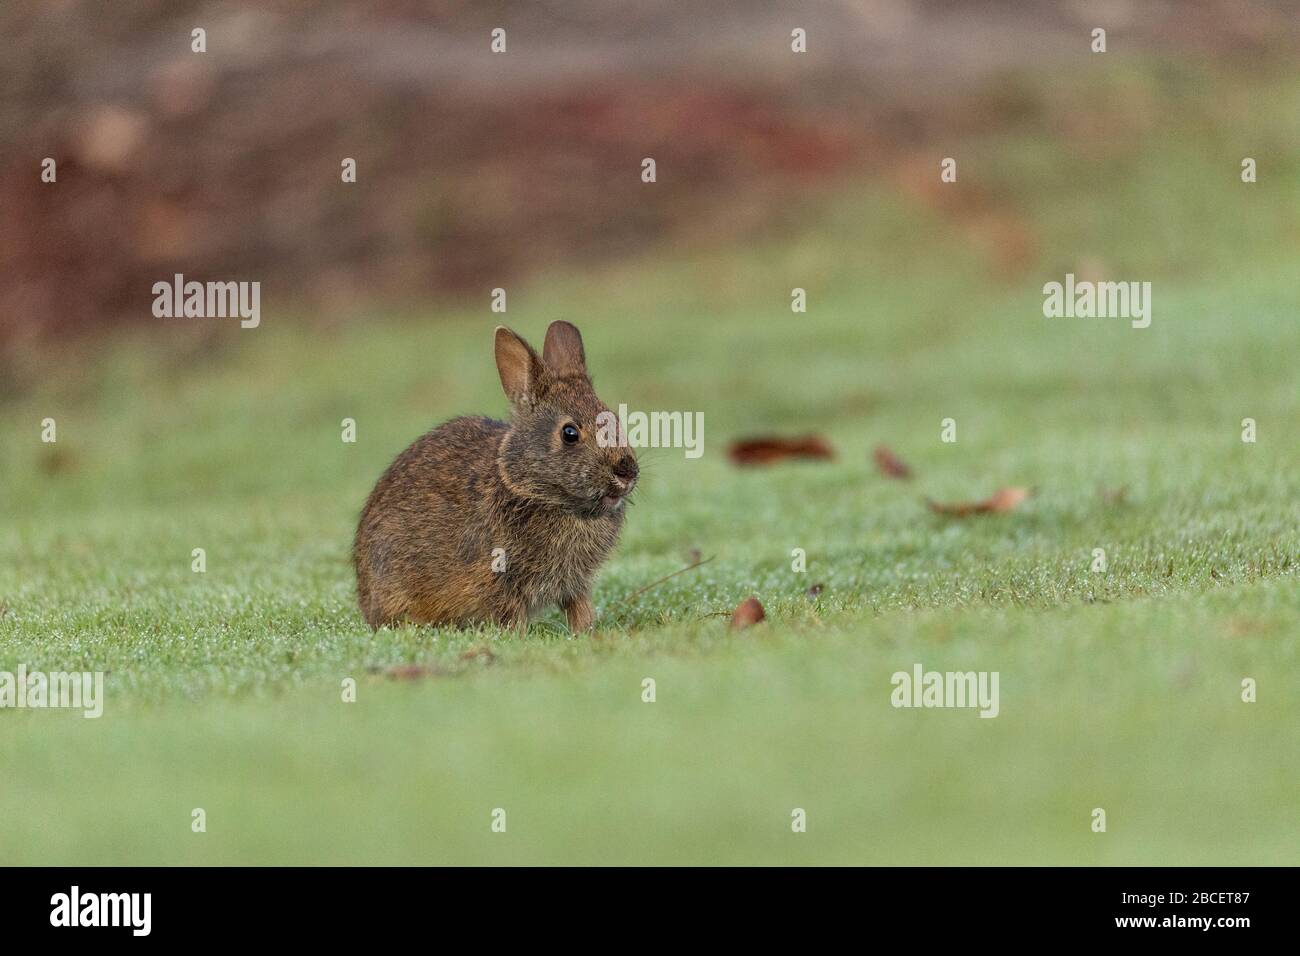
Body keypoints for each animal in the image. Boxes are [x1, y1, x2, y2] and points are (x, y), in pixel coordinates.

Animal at [353, 320, 638, 632]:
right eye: (570, 433)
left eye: (615, 419)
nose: (627, 471)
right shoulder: (498, 577)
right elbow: (510, 614)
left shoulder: (575, 583)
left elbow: (580, 609)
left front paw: (586, 632)